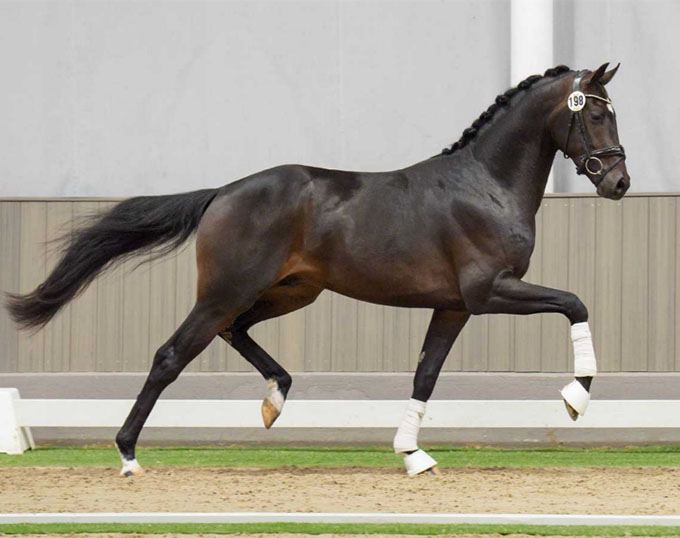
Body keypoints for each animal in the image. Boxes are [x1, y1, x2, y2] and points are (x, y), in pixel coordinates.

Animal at [6, 62, 629, 477]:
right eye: (596, 113)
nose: (619, 182)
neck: (485, 185)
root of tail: (222, 193)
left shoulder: (453, 305)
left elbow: (425, 375)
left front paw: (413, 455)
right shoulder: (489, 292)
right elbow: (575, 302)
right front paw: (576, 398)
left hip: (290, 292)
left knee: (235, 332)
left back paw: (274, 401)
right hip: (226, 291)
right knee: (171, 355)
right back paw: (129, 455)